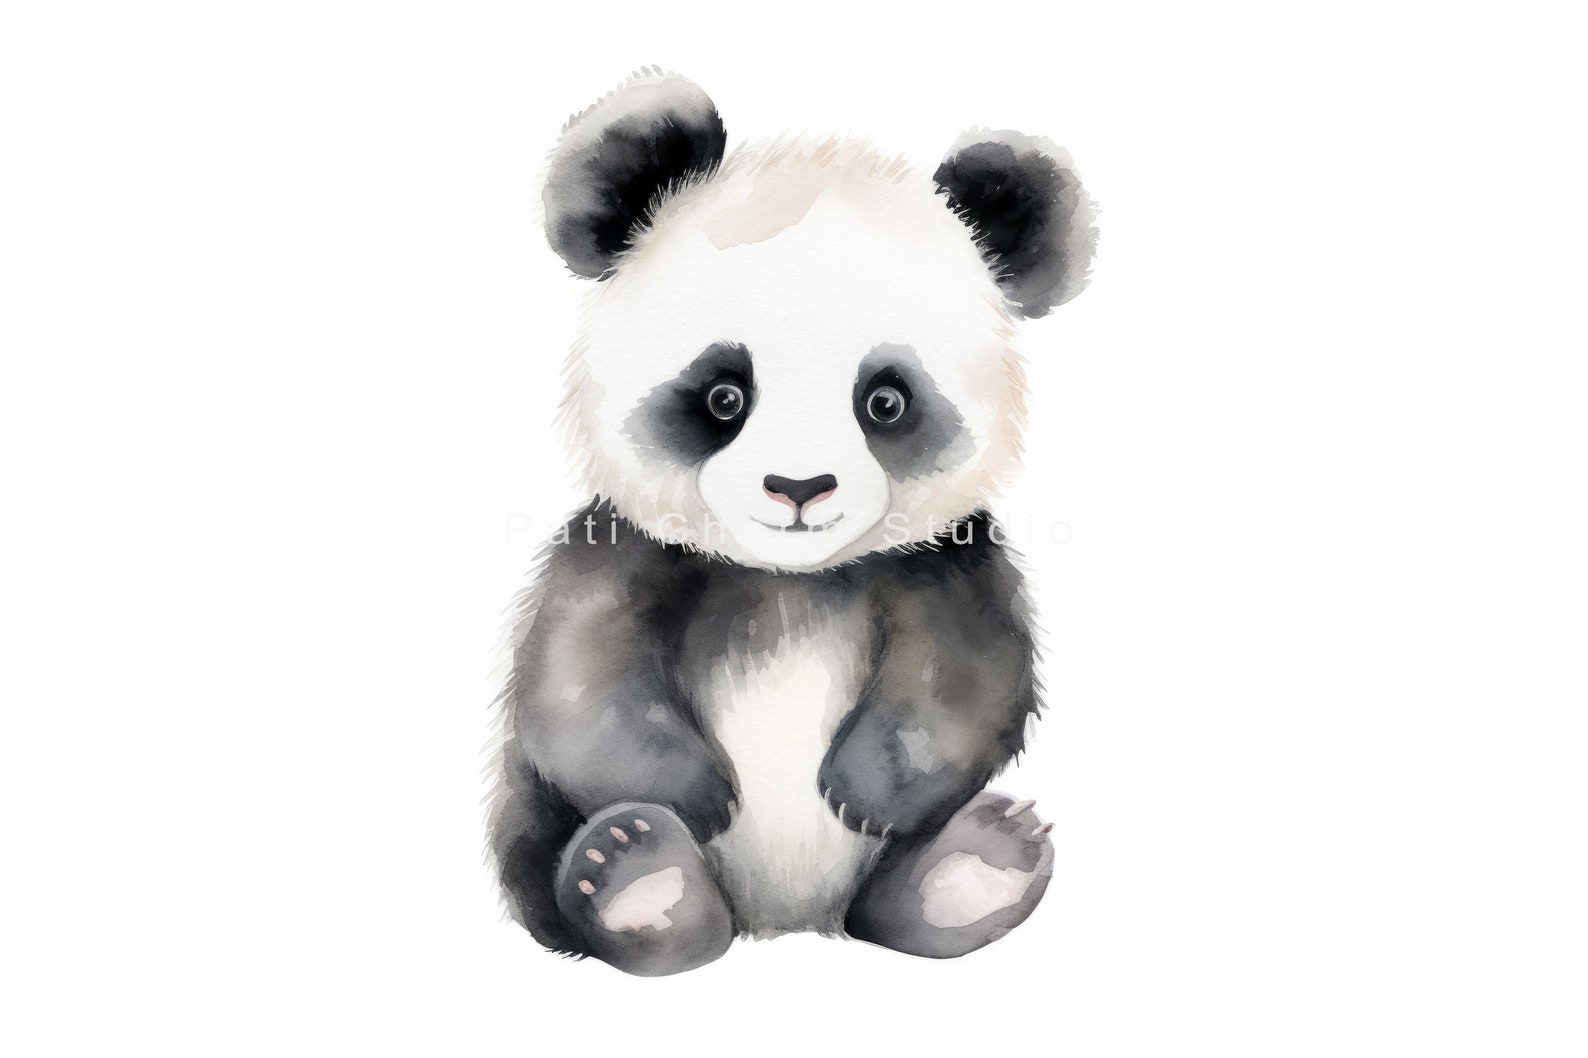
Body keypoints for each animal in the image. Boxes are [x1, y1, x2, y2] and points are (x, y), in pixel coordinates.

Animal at [490, 69, 1097, 977]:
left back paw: (972, 869)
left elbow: (972, 671)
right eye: (723, 394)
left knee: (888, 909)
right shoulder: (627, 544)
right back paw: (641, 879)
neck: (787, 580)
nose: (799, 487)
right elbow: (576, 671)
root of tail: (785, 921)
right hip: (533, 824)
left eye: (886, 401)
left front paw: (868, 789)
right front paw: (693, 795)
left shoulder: (945, 557)